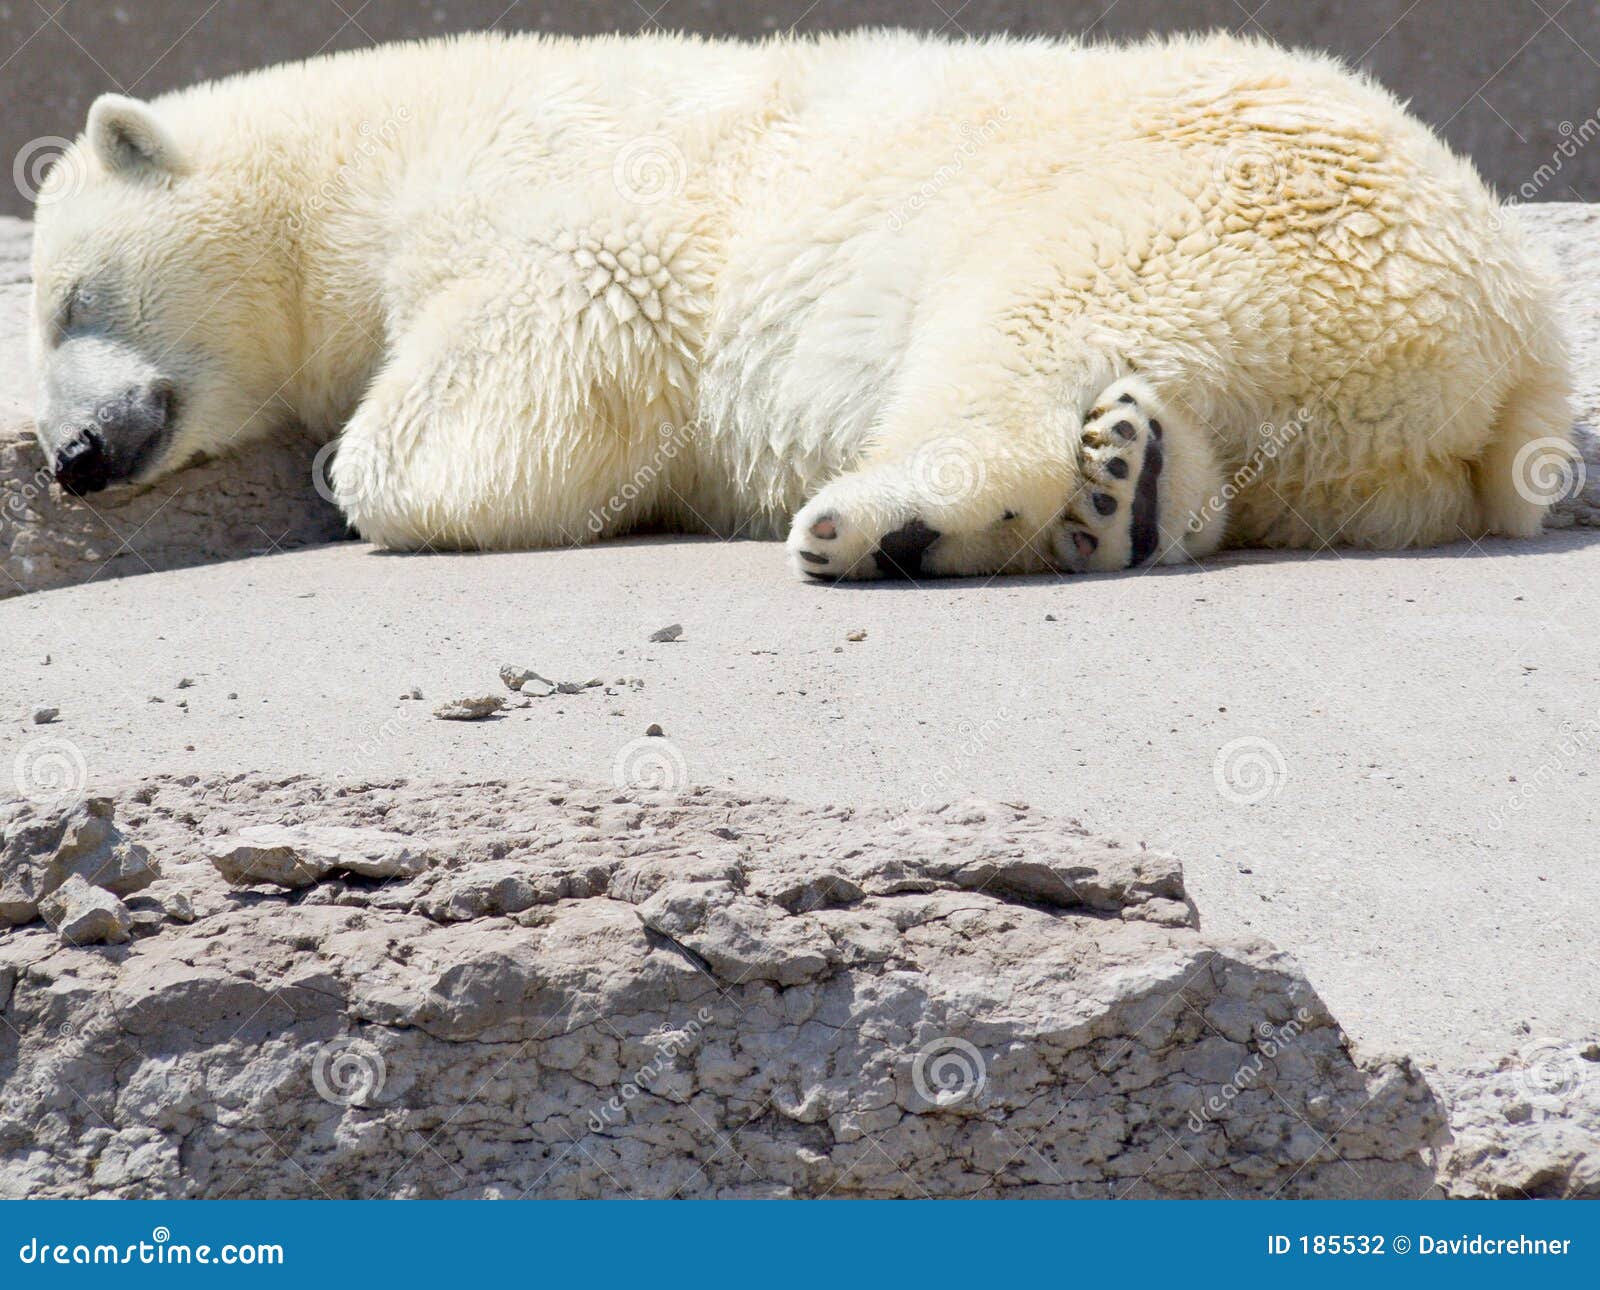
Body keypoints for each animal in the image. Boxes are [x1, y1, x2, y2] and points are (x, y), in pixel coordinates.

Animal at [27, 29, 1572, 581]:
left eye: (66, 301)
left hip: (1170, 193)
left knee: (1014, 328)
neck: (366, 161)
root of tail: (1517, 351)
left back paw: (885, 521)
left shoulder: (554, 203)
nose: (71, 458)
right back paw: (1121, 491)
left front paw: (382, 473)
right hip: (1376, 459)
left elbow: (527, 373)